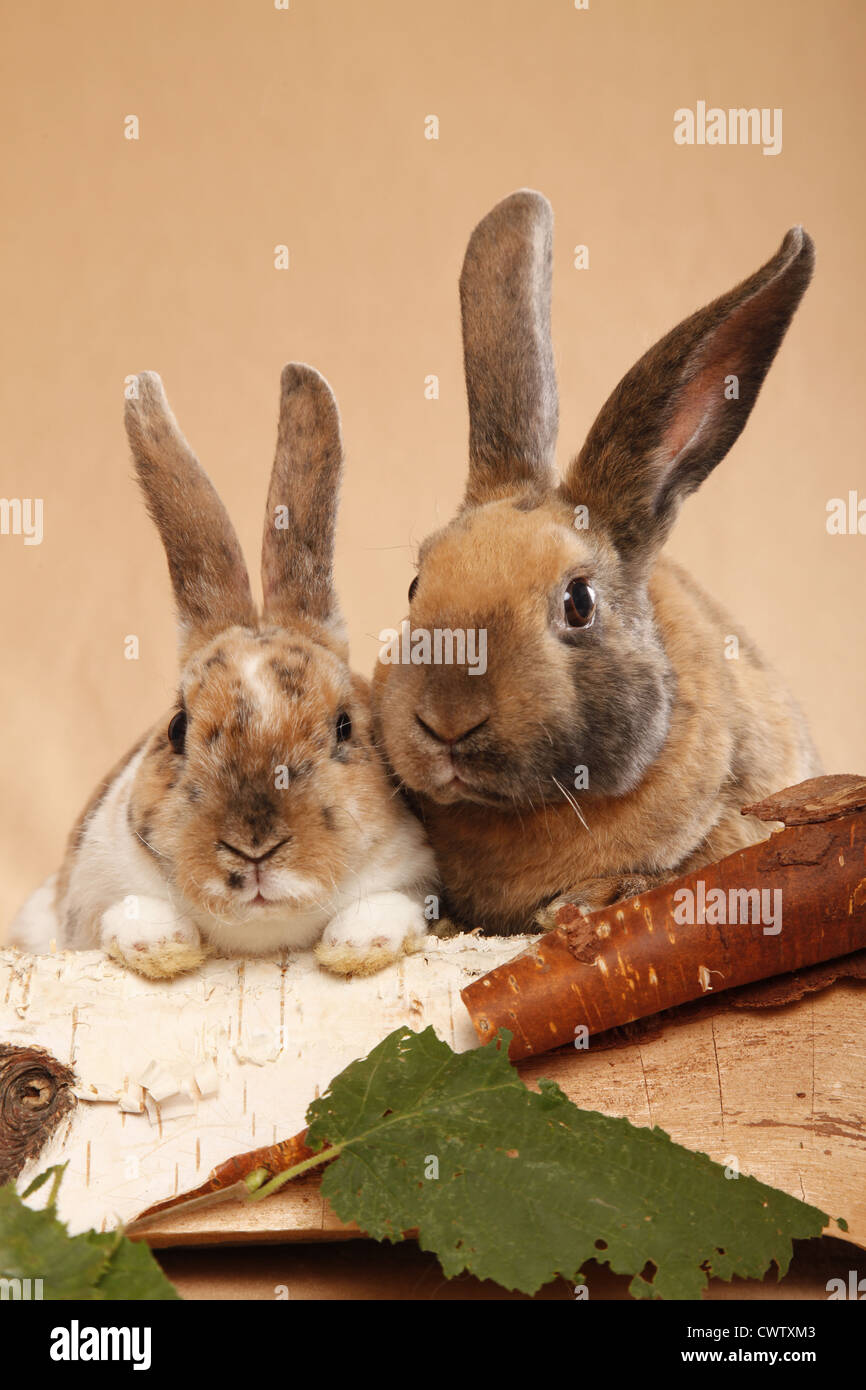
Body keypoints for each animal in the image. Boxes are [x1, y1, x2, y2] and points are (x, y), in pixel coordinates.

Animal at [10, 364, 436, 979]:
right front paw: (161, 945)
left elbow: (390, 904)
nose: (253, 847)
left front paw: (358, 945)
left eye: (345, 727)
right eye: (177, 729)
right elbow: (127, 910)